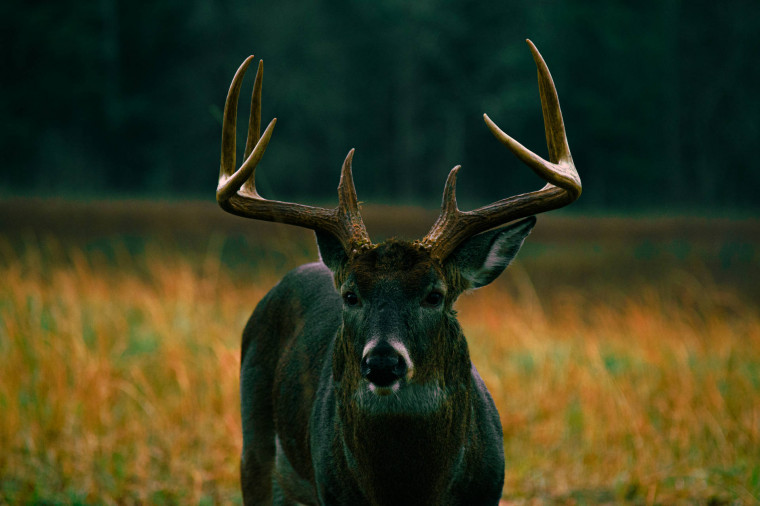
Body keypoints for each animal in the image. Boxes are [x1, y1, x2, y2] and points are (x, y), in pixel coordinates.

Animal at [216, 40, 581, 506]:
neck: (408, 487)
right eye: (351, 294)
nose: (383, 361)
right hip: (255, 455)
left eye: (434, 294)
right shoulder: (334, 490)